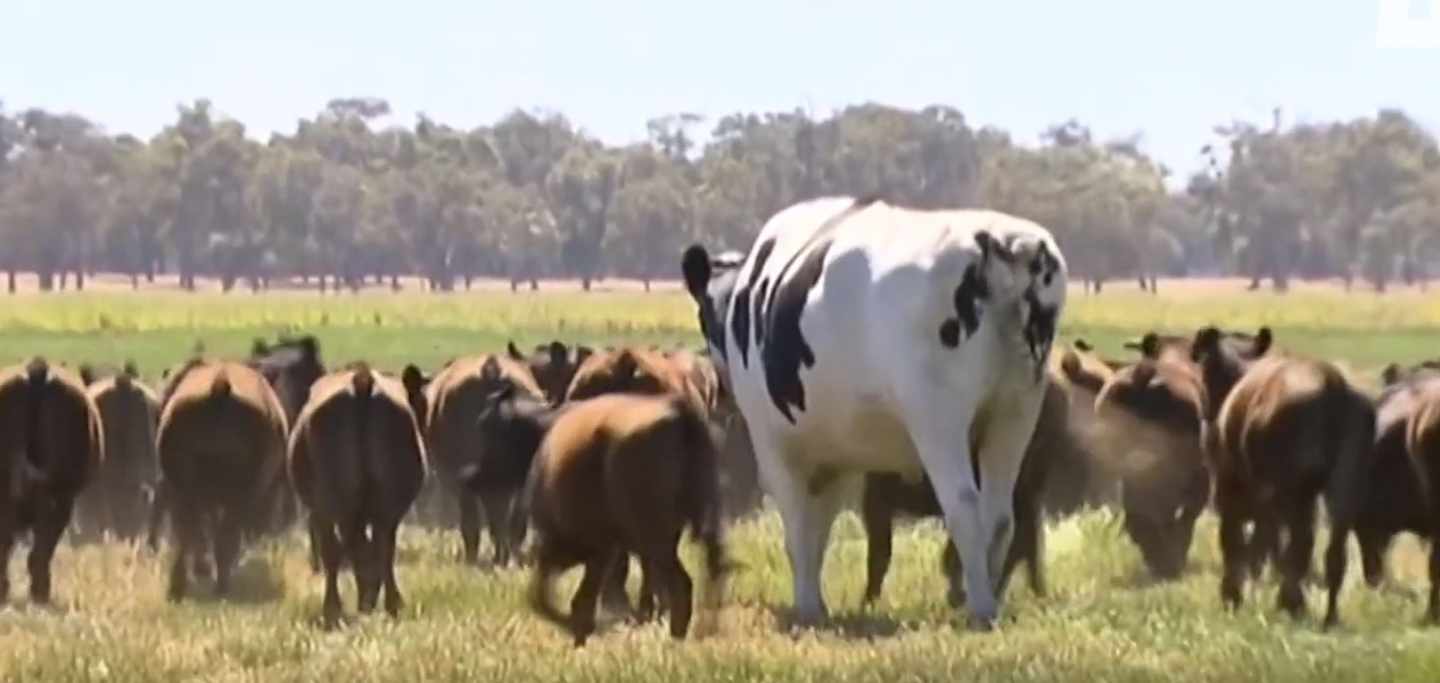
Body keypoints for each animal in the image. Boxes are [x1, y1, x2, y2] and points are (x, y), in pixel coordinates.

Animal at [288, 362, 428, 626]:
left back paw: (338, 607)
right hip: (384, 504)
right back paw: (387, 603)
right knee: (381, 548)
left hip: (331, 502)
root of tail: (362, 379)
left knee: (340, 550)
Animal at [681, 195, 1067, 627]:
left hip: (937, 419)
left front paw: (807, 607)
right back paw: (989, 598)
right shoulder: (835, 455)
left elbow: (798, 531)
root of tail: (998, 241)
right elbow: (819, 531)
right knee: (999, 515)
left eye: (702, 316)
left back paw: (980, 607)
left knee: (964, 505)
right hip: (1015, 413)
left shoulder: (776, 448)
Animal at [1191, 326, 1374, 629]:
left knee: (1299, 543)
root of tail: (1332, 385)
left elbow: (1236, 541)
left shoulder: (1231, 487)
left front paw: (1232, 597)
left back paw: (1290, 602)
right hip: (1341, 489)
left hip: (1291, 491)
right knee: (1333, 552)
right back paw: (1328, 615)